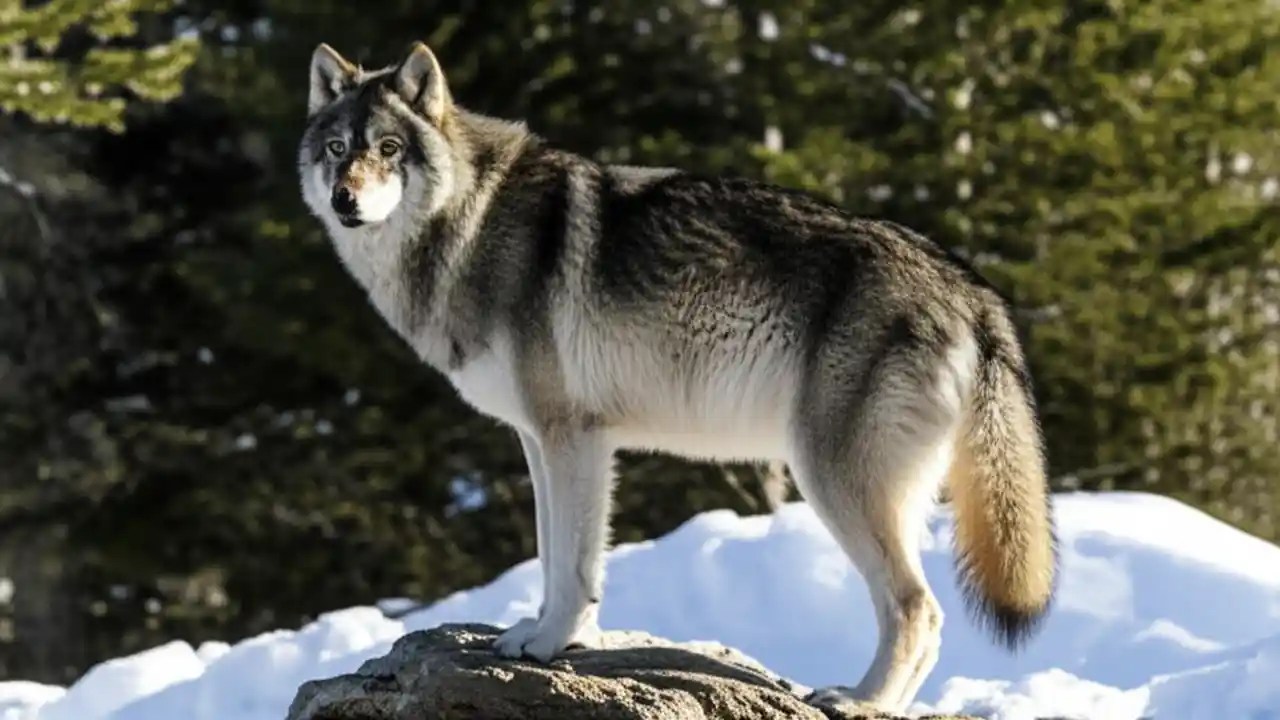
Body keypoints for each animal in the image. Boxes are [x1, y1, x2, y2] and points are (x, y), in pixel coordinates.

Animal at [299, 41, 1056, 712]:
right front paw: (550, 634)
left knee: (917, 610)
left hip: (831, 480)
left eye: (388, 149)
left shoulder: (573, 437)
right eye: (337, 149)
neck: (471, 223)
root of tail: (972, 292)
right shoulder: (543, 442)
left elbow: (573, 564)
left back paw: (858, 700)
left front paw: (549, 644)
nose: (344, 199)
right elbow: (554, 553)